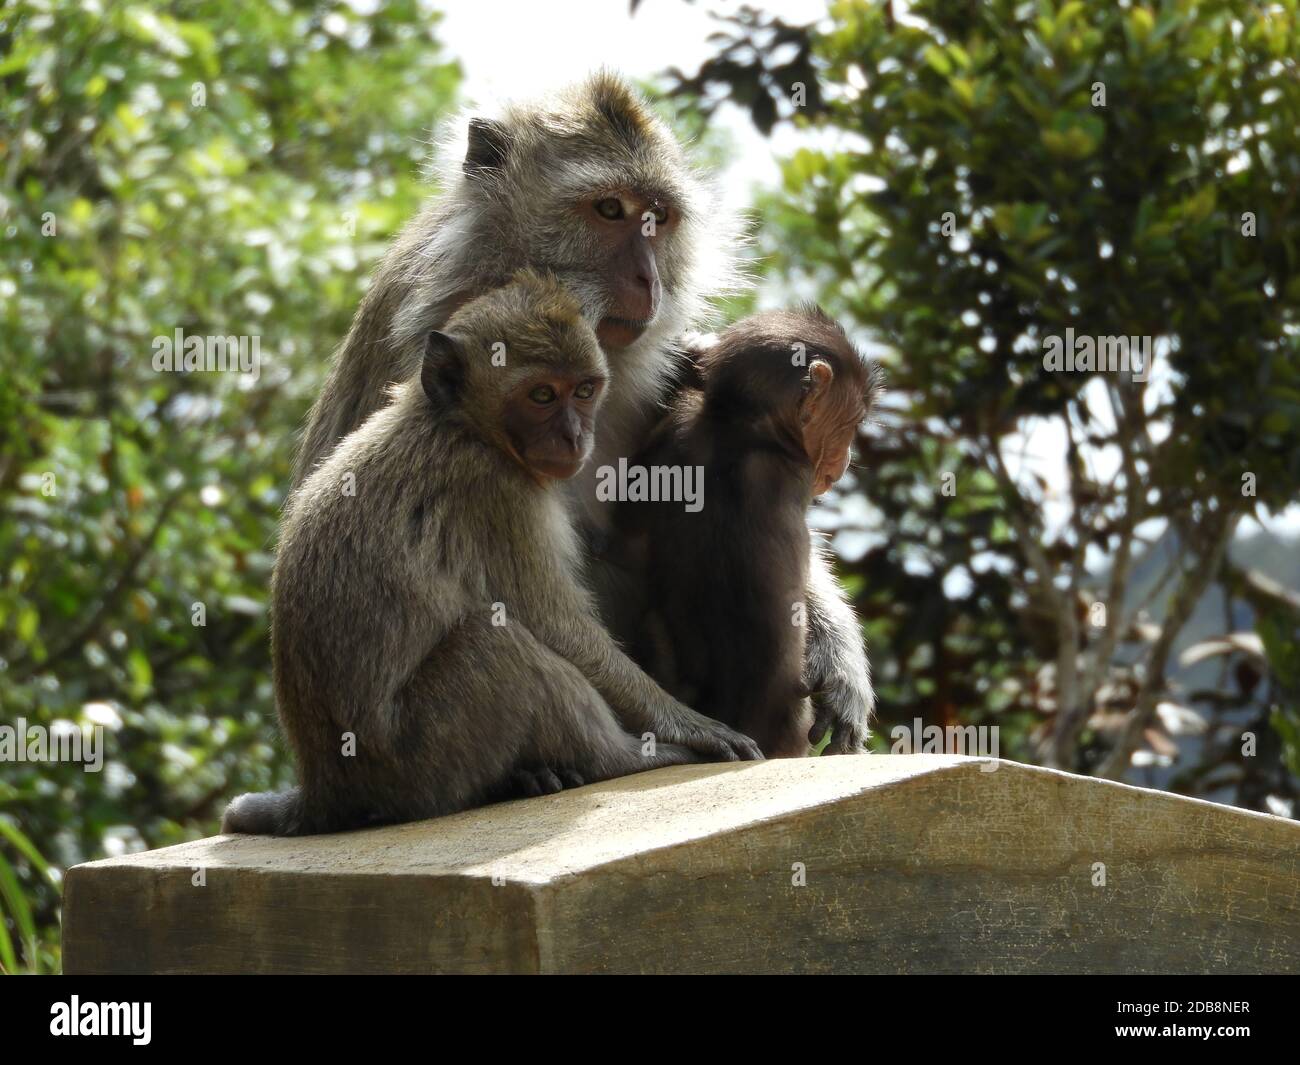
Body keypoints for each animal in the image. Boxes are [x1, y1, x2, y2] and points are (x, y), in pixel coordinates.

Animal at [222, 271, 762, 836]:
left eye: (584, 390)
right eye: (542, 394)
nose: (574, 437)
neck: (462, 427)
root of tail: (327, 792)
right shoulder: (497, 495)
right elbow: (557, 629)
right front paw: (687, 725)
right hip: (418, 757)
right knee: (495, 641)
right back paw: (622, 759)